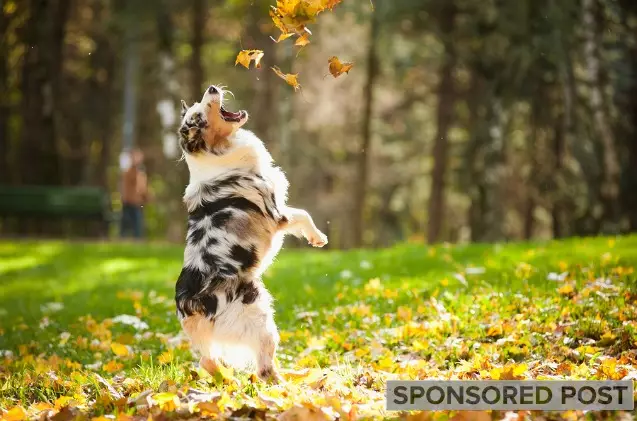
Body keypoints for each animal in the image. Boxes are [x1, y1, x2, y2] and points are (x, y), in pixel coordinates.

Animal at [175, 83, 328, 382]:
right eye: (199, 114)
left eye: (199, 105)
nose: (212, 87)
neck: (215, 156)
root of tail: (191, 303)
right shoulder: (276, 213)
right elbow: (303, 214)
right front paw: (318, 238)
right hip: (260, 316)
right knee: (265, 368)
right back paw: (292, 385)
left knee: (208, 361)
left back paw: (232, 379)